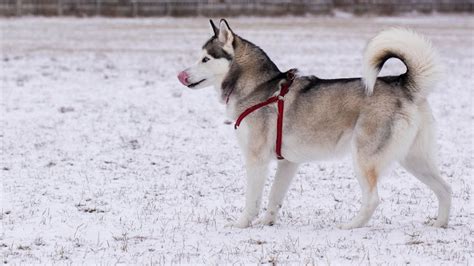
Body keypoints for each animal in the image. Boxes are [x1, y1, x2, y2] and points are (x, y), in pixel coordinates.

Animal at [177, 19, 452, 230]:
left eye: (205, 59)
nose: (181, 75)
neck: (259, 88)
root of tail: (403, 84)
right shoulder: (288, 163)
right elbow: (274, 197)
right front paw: (267, 223)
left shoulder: (256, 159)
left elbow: (252, 200)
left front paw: (241, 224)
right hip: (414, 159)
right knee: (446, 188)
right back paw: (440, 224)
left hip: (364, 158)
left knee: (373, 199)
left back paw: (351, 226)